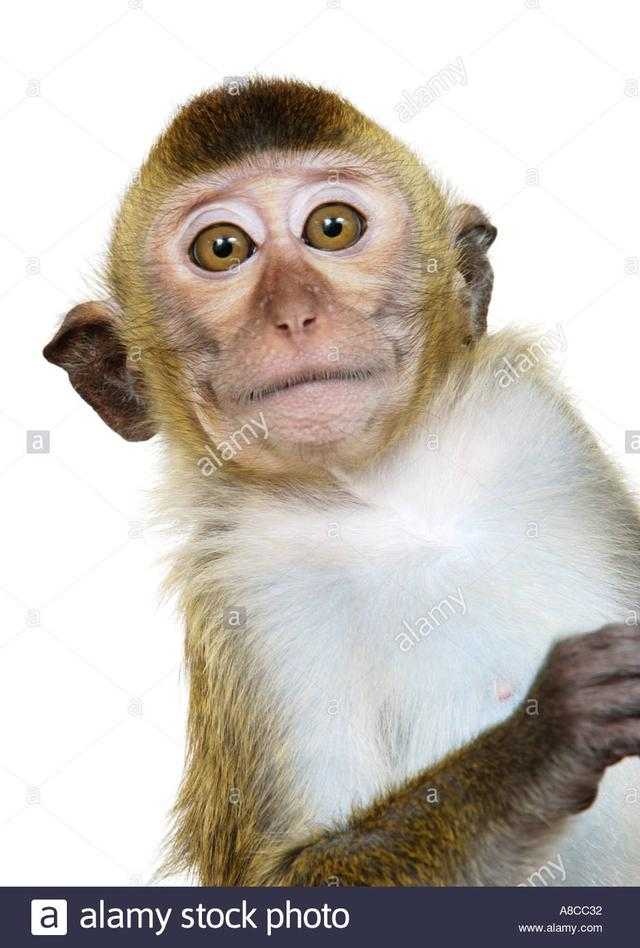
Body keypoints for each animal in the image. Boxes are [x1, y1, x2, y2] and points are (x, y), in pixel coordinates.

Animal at [44, 78, 640, 887]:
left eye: (332, 228)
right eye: (222, 248)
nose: (297, 313)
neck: (385, 500)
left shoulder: (532, 433)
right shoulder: (249, 597)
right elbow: (288, 873)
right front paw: (546, 735)